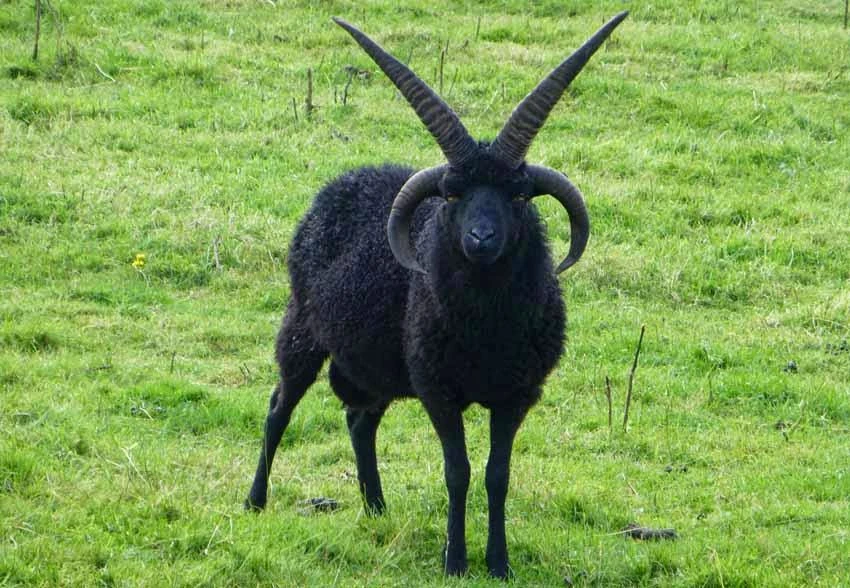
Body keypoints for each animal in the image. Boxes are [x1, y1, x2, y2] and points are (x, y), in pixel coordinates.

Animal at [246, 12, 628, 578]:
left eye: (518, 195)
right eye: (452, 194)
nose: (481, 238)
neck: (487, 329)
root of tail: (342, 182)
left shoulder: (516, 394)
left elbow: (496, 475)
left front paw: (499, 563)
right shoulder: (438, 390)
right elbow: (458, 472)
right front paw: (455, 560)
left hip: (379, 362)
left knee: (360, 420)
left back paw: (376, 507)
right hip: (303, 331)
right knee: (279, 408)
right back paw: (255, 501)